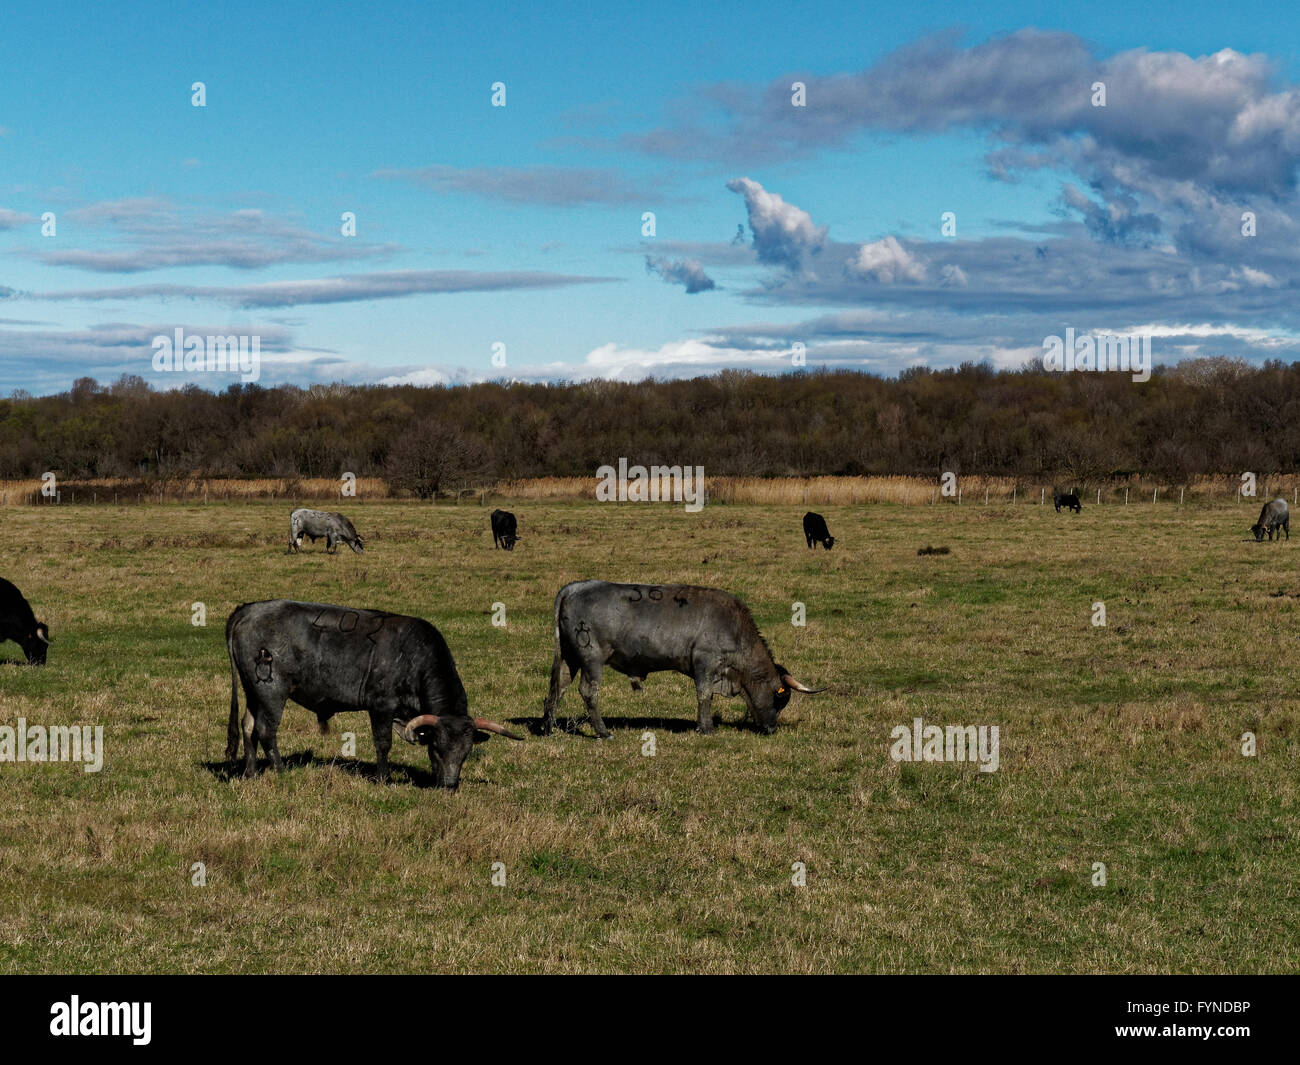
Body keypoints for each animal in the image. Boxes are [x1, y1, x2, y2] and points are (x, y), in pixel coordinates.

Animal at [225, 600, 521, 788]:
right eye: (436, 747)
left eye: (467, 752)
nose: (449, 784)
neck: (412, 656)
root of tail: (247, 609)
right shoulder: (381, 707)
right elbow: (383, 743)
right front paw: (384, 779)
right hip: (271, 693)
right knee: (265, 731)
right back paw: (280, 770)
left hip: (253, 692)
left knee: (248, 726)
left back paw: (250, 773)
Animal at [540, 580, 824, 739]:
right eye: (780, 699)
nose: (772, 730)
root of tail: (577, 586)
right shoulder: (705, 664)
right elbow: (704, 696)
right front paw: (706, 728)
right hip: (591, 660)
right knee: (588, 692)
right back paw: (603, 732)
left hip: (569, 658)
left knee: (558, 688)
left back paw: (549, 729)